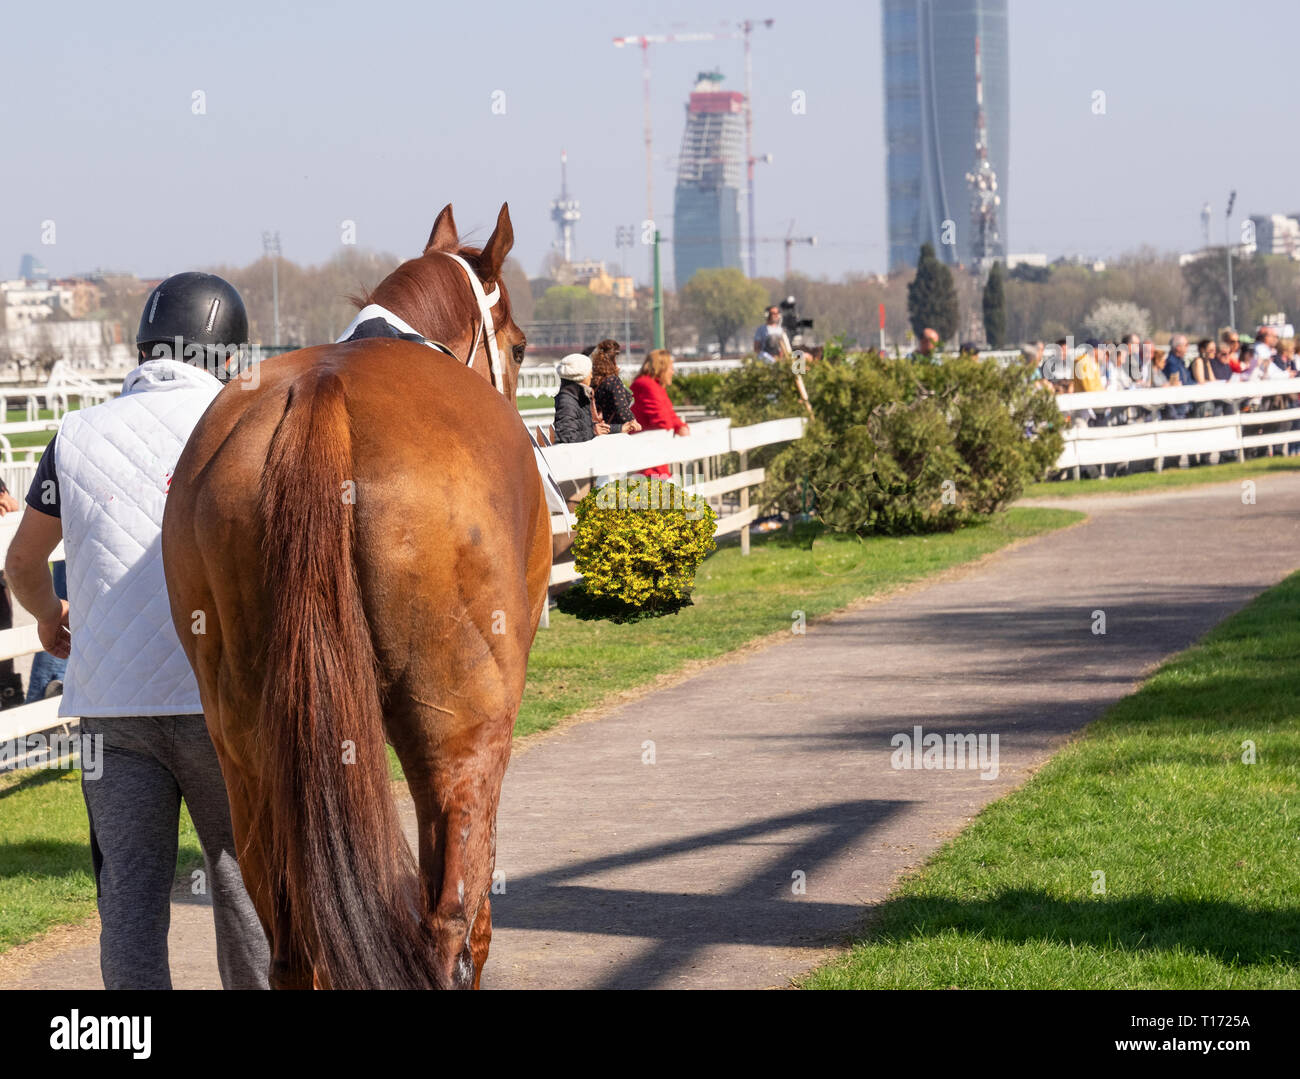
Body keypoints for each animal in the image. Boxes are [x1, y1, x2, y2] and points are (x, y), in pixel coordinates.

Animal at [161, 203, 552, 989]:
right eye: (522, 346)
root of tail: (323, 395)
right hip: (458, 727)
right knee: (450, 922)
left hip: (249, 749)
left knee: (289, 938)